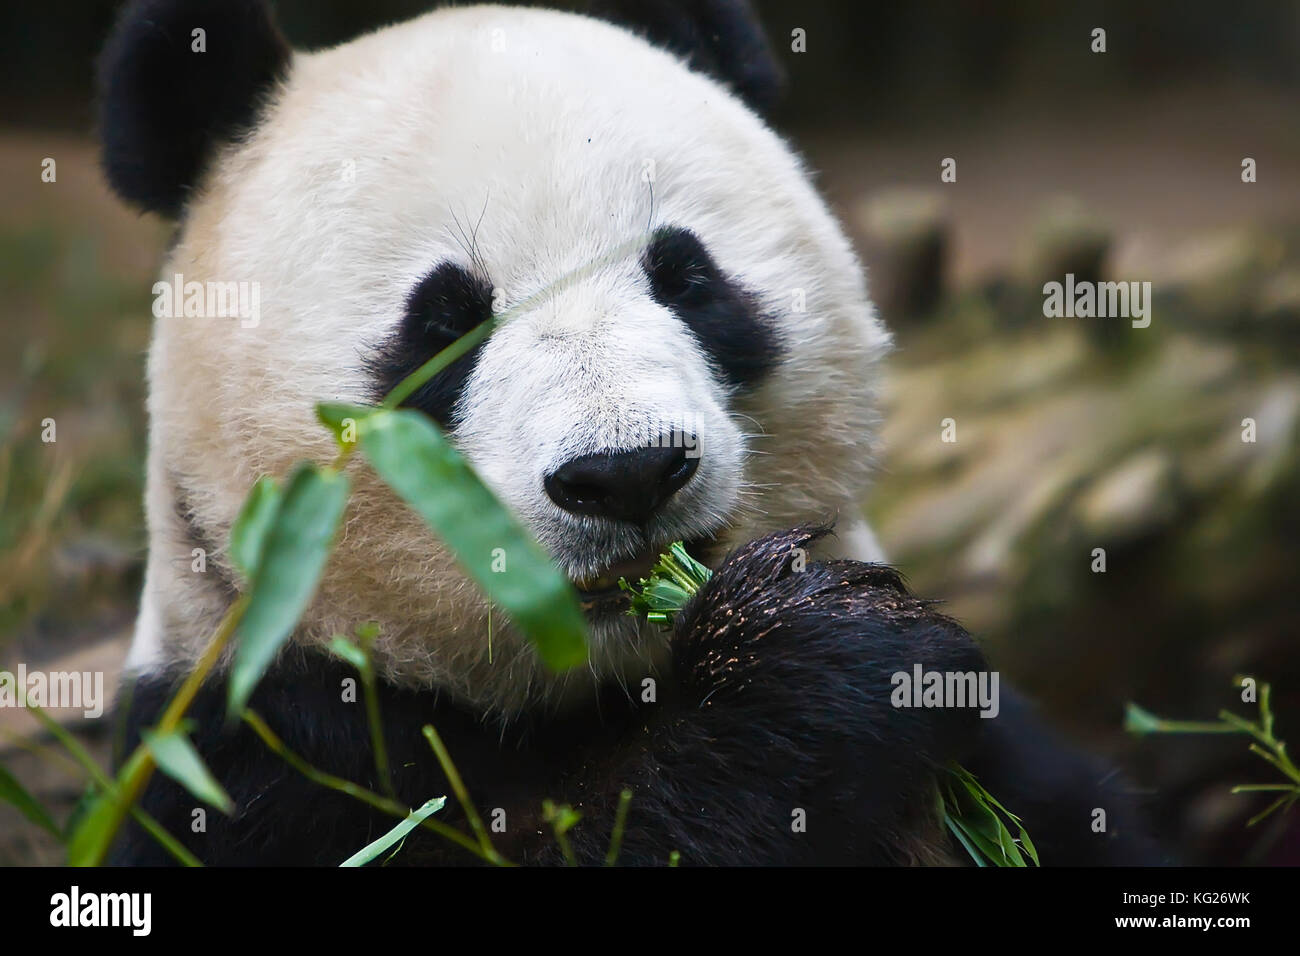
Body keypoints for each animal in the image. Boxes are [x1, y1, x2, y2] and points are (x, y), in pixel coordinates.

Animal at [98, 0, 1160, 865]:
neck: (599, 689)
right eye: (444, 326)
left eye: (687, 277)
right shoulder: (254, 751)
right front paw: (817, 662)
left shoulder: (1011, 756)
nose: (627, 474)